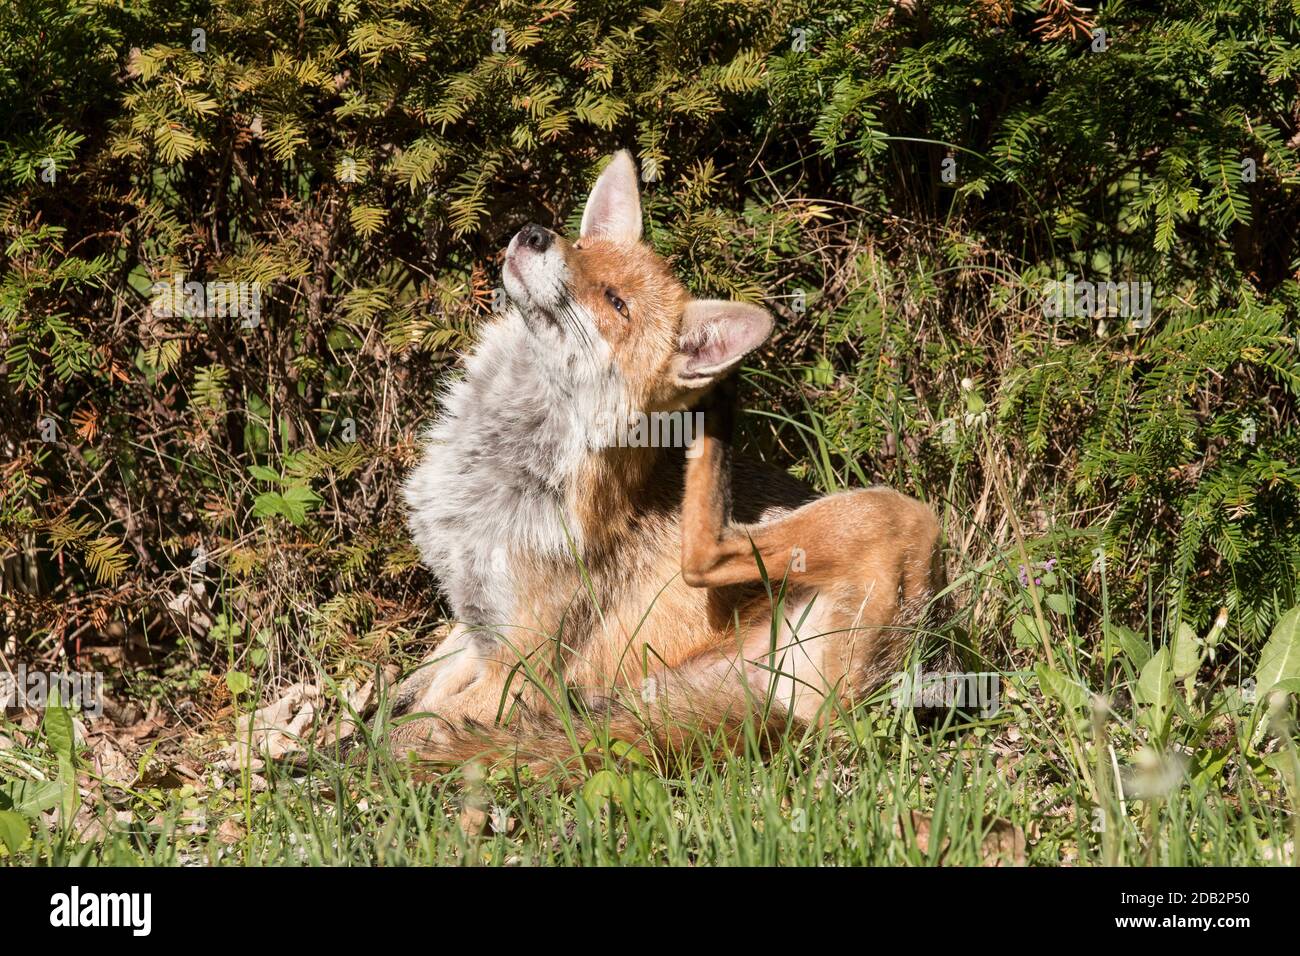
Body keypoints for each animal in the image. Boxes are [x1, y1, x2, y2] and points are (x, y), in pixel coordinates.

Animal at [390, 150, 944, 778]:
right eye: (580, 247)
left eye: (615, 303)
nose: (534, 233)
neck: (490, 477)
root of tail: (810, 723)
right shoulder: (477, 618)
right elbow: (417, 689)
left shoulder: (523, 674)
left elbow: (409, 733)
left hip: (892, 514)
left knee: (704, 554)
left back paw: (718, 411)